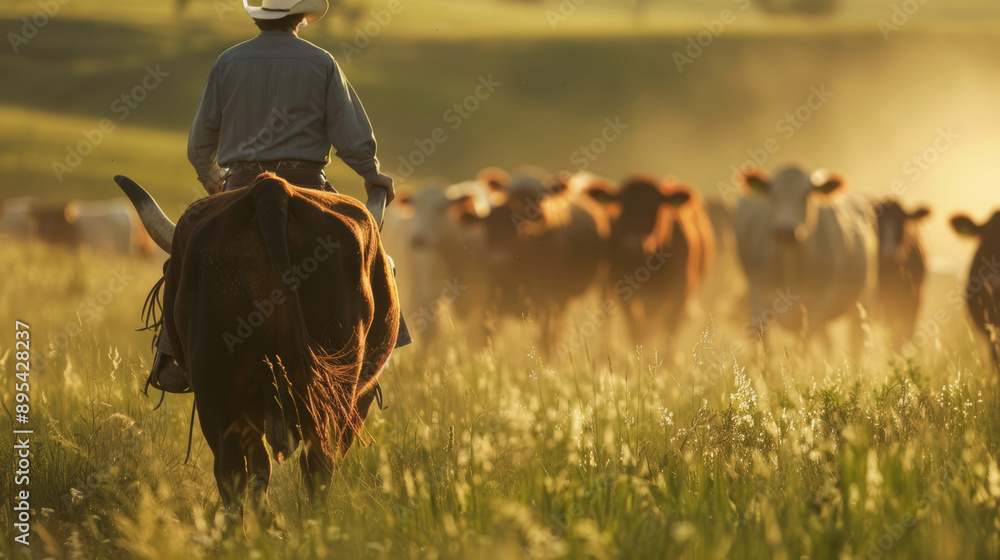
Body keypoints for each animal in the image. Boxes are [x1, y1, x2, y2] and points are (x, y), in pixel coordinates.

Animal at [585, 174, 714, 357]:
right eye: (621, 206)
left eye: (655, 207)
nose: (631, 245)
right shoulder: (624, 290)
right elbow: (635, 325)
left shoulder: (681, 290)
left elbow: (670, 329)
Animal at [734, 166, 876, 353]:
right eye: (773, 193)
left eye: (807, 195)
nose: (786, 232)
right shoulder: (757, 292)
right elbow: (764, 343)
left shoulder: (819, 299)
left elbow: (803, 345)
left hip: (863, 301)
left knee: (855, 343)